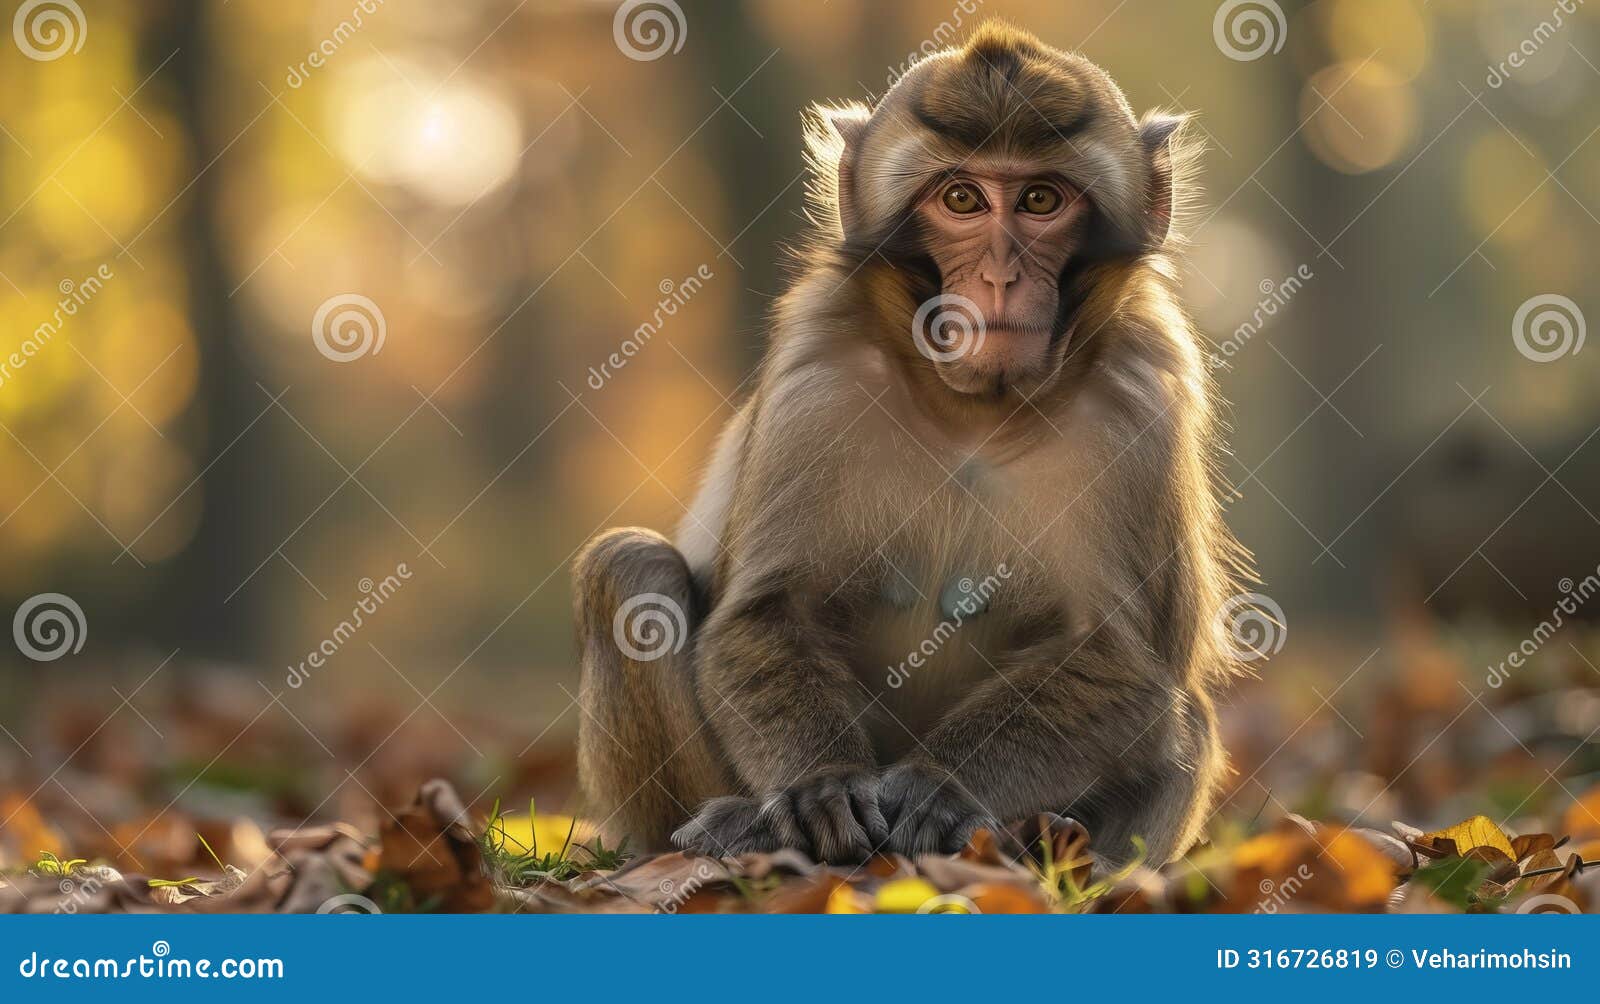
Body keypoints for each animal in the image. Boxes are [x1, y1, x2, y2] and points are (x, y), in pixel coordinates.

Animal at [572, 22, 1251, 868]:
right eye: (961, 199)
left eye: (1041, 199)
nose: (999, 276)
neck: (971, 409)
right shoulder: (817, 378)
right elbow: (763, 613)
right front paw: (822, 783)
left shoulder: (1140, 405)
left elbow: (1122, 661)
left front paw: (940, 787)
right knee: (631, 570)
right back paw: (735, 821)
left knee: (1187, 718)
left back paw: (1045, 843)